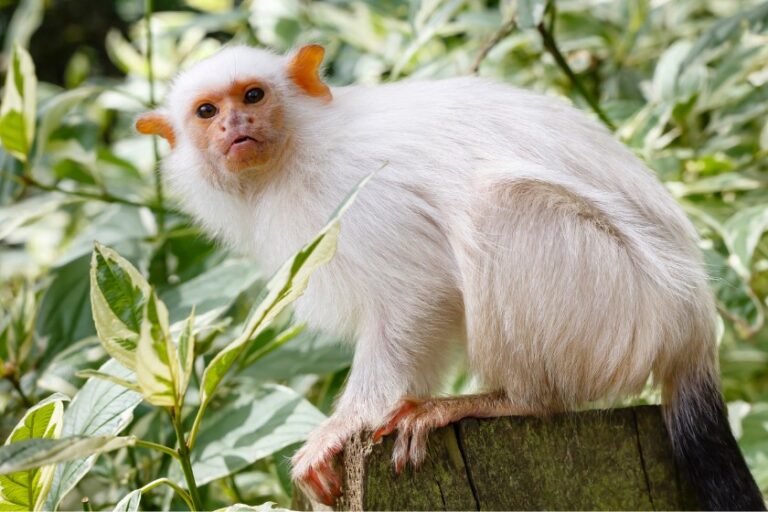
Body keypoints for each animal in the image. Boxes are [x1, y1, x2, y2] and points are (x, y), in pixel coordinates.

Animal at [136, 44, 765, 510]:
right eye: (207, 112)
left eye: (253, 95)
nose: (235, 125)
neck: (295, 151)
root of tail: (695, 328)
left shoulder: (355, 192)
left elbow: (416, 291)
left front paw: (346, 425)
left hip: (626, 307)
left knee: (501, 203)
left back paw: (512, 400)